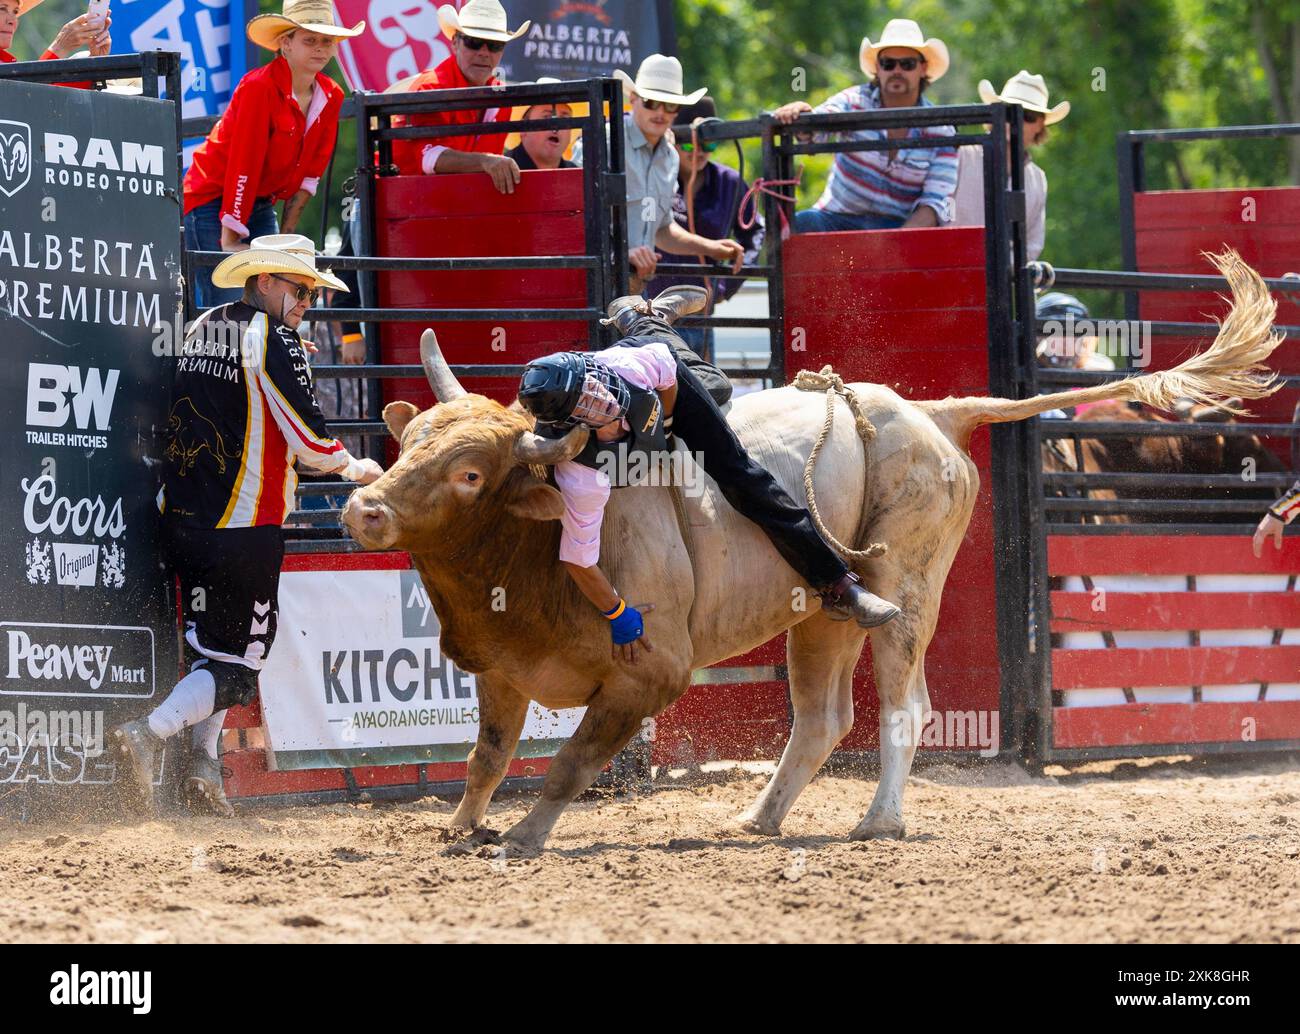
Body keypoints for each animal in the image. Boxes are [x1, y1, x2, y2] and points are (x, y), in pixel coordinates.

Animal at [340, 250, 1281, 856]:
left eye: (470, 472)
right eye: (410, 442)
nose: (363, 508)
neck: (533, 545)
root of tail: (932, 412)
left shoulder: (651, 675)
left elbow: (571, 760)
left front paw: (525, 836)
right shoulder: (500, 669)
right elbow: (489, 753)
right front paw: (461, 829)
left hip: (907, 584)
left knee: (904, 705)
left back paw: (880, 820)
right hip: (818, 612)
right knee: (823, 717)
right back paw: (760, 818)